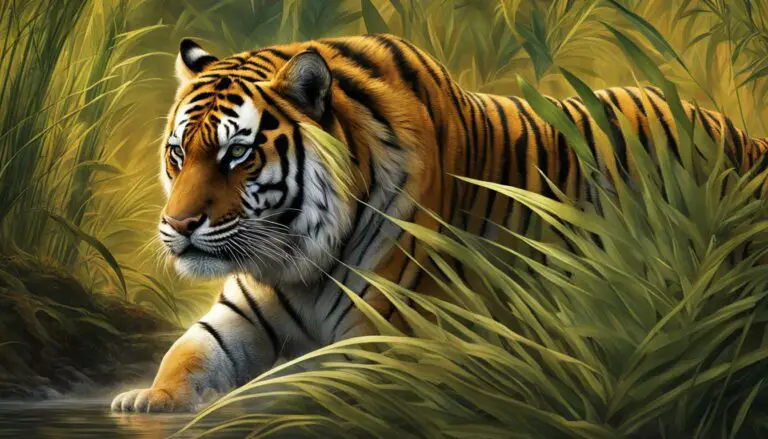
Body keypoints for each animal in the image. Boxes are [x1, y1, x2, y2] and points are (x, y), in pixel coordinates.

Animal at [111, 34, 768, 412]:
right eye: (178, 153)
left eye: (237, 154)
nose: (178, 224)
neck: (299, 261)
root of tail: (742, 136)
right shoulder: (244, 312)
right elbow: (189, 353)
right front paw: (147, 399)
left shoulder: (384, 336)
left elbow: (310, 383)